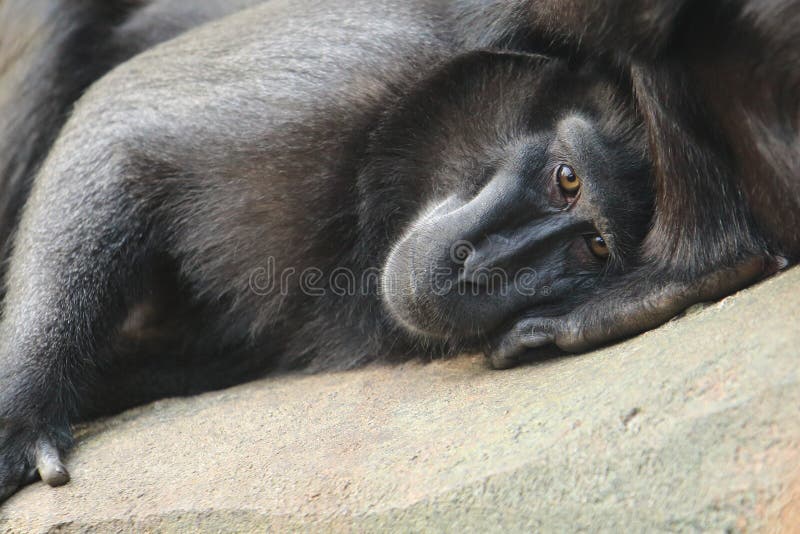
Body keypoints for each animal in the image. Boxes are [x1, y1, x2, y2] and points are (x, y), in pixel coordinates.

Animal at [0, 0, 658, 499]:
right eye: (566, 178)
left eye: (595, 246)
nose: (482, 268)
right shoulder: (366, 63)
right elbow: (118, 131)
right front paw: (19, 418)